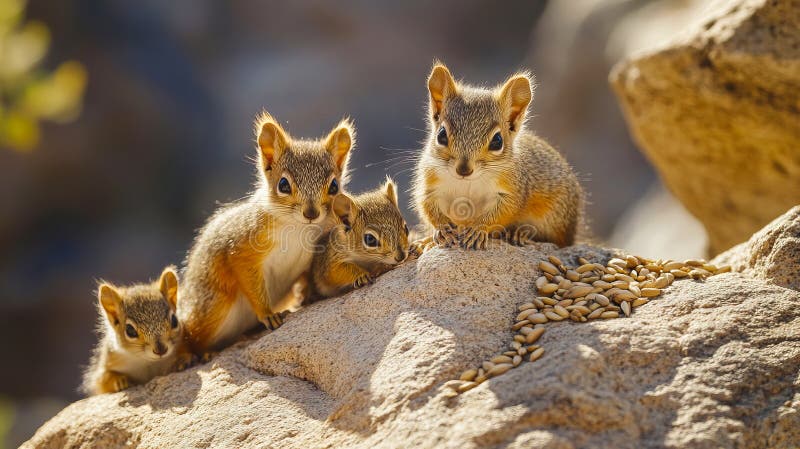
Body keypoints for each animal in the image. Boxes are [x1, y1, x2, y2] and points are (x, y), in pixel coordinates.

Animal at [81, 266, 193, 395]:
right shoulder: (110, 360)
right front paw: (119, 380)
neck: (147, 361)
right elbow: (103, 381)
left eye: (174, 320)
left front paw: (181, 360)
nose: (161, 350)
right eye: (130, 330)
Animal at [178, 112, 354, 354]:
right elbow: (251, 282)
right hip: (212, 307)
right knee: (189, 334)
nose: (311, 213)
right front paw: (268, 314)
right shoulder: (242, 248)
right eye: (283, 184)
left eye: (334, 186)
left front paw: (309, 294)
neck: (299, 228)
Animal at [410, 62, 584, 253]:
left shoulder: (512, 189)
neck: (467, 183)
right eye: (441, 135)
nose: (463, 170)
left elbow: (503, 212)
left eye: (497, 141)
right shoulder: (430, 181)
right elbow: (427, 205)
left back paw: (519, 234)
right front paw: (442, 229)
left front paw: (477, 230)